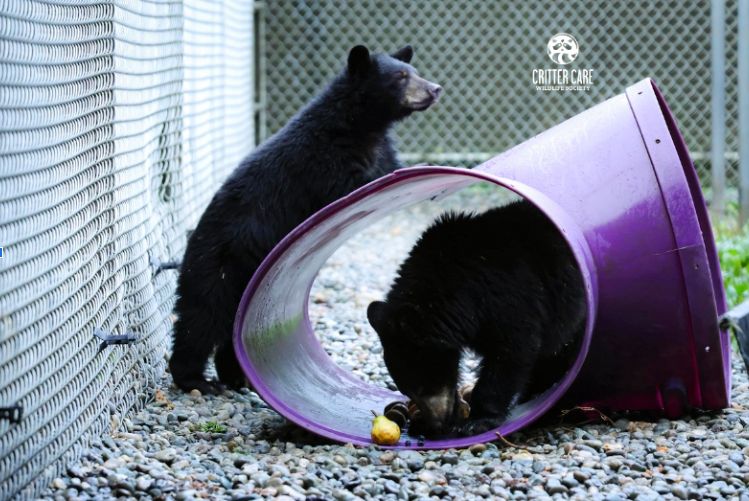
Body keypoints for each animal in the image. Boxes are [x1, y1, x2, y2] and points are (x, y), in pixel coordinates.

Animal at [170, 45, 442, 394]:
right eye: (400, 76)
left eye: (414, 71)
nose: (435, 89)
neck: (360, 126)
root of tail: (190, 245)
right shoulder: (322, 161)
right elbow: (352, 185)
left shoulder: (378, 148)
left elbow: (388, 165)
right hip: (217, 267)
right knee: (201, 318)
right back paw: (195, 379)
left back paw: (237, 376)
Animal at [367, 200, 586, 437]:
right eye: (407, 390)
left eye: (424, 386)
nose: (437, 423)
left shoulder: (508, 296)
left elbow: (513, 350)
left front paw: (478, 420)